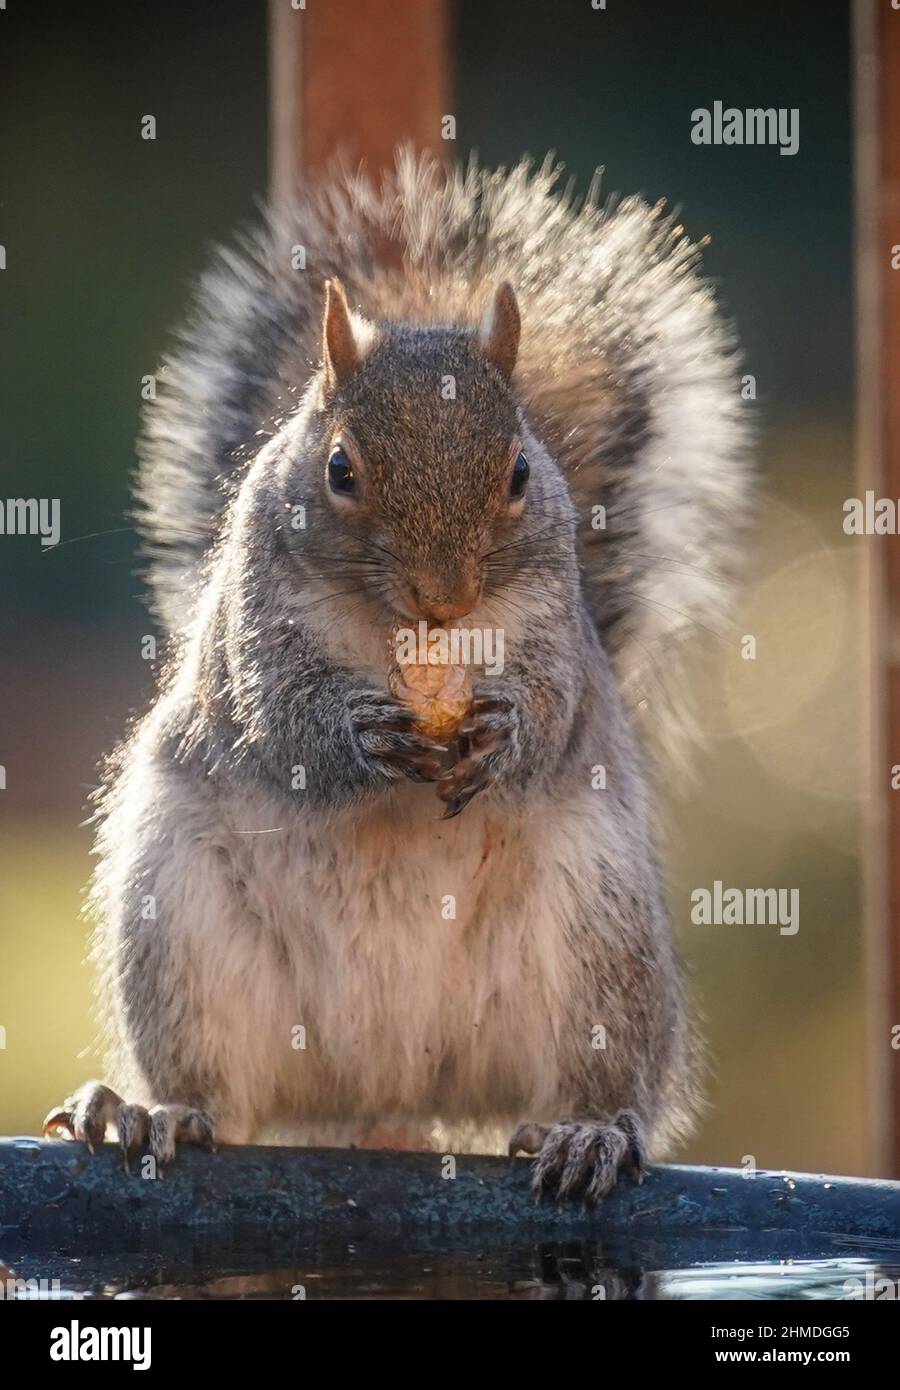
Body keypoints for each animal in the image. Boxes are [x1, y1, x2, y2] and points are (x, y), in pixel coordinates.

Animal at [43, 151, 751, 1200]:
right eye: (340, 468)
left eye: (520, 473)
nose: (445, 597)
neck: (403, 640)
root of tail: (395, 1081)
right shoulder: (251, 632)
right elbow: (278, 714)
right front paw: (356, 736)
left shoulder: (558, 634)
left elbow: (553, 704)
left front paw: (504, 736)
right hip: (181, 928)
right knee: (214, 1090)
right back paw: (148, 1110)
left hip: (598, 937)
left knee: (599, 1081)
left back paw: (589, 1134)